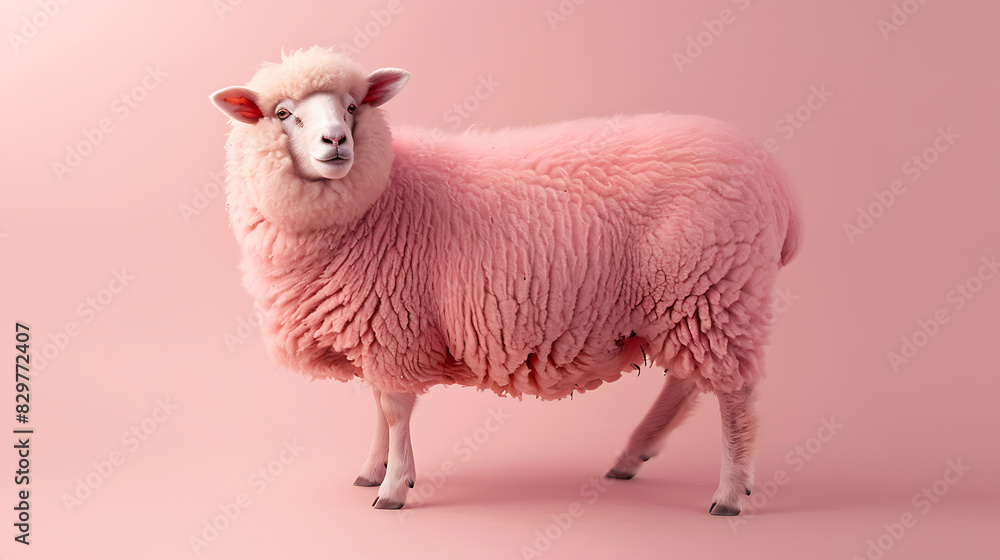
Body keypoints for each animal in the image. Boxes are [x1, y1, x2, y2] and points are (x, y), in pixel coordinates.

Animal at [210, 47, 801, 514]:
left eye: (353, 107)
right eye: (283, 114)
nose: (336, 141)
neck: (380, 197)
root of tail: (777, 180)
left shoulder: (394, 322)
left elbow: (394, 408)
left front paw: (394, 487)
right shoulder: (378, 324)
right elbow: (379, 402)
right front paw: (375, 470)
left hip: (714, 288)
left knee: (734, 395)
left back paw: (730, 493)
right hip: (690, 298)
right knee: (687, 382)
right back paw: (633, 455)